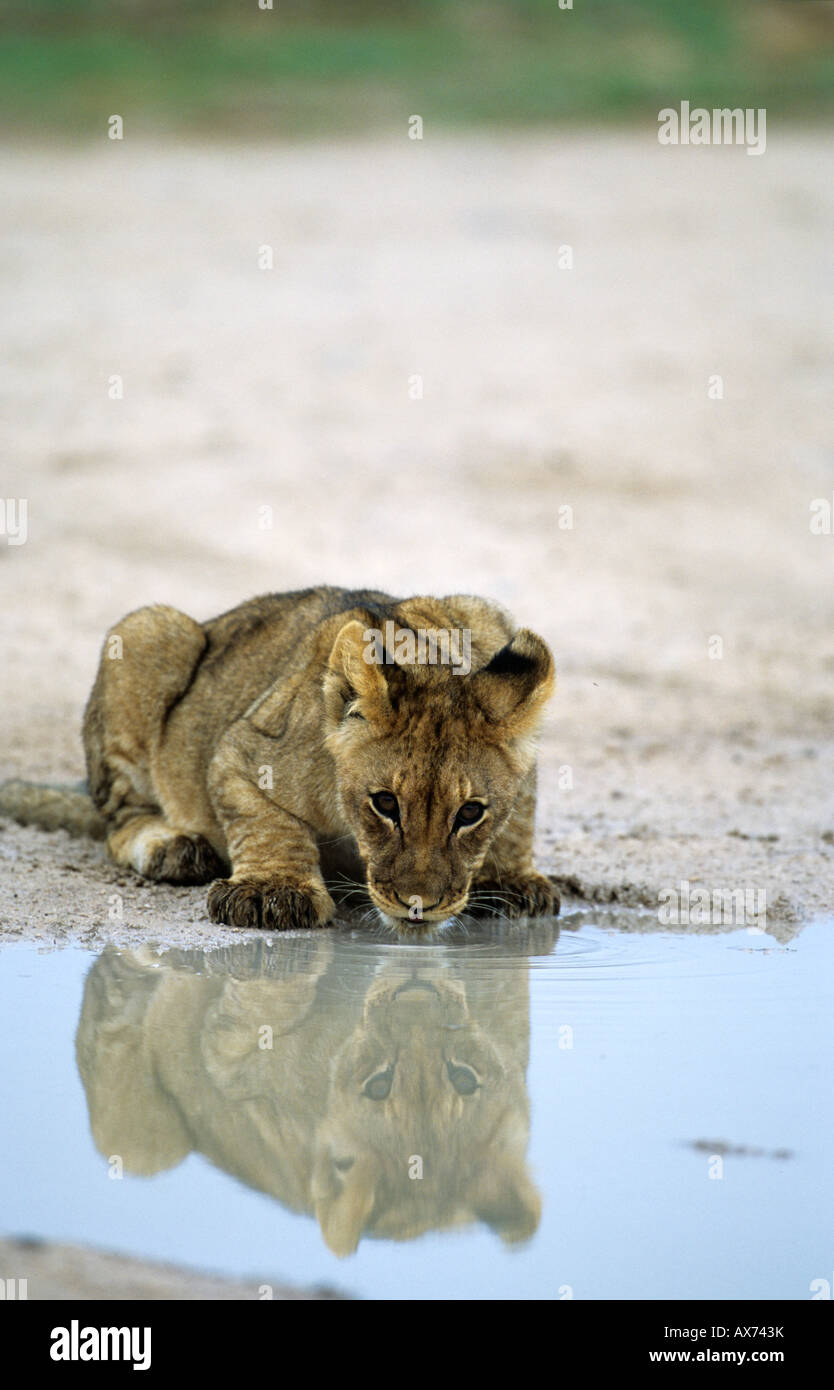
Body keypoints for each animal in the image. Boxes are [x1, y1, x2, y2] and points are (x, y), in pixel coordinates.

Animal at [0, 586, 559, 932]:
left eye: (470, 813)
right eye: (385, 804)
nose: (419, 906)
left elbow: (518, 819)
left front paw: (510, 882)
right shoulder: (243, 750)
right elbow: (268, 821)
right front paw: (274, 892)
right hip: (149, 631)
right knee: (120, 820)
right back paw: (171, 846)